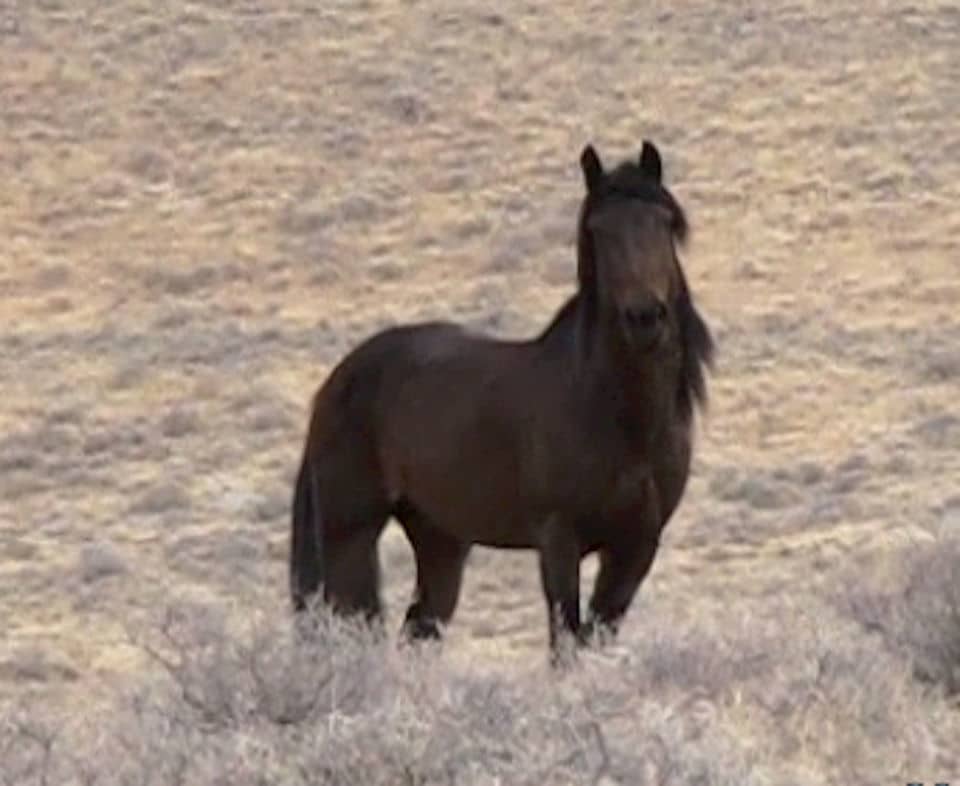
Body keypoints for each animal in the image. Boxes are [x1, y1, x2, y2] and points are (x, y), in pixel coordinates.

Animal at [289, 140, 714, 659]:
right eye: (599, 231)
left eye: (664, 223)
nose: (645, 318)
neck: (621, 418)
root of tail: (336, 380)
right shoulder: (558, 539)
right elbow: (565, 646)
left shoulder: (636, 547)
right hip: (350, 533)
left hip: (441, 540)